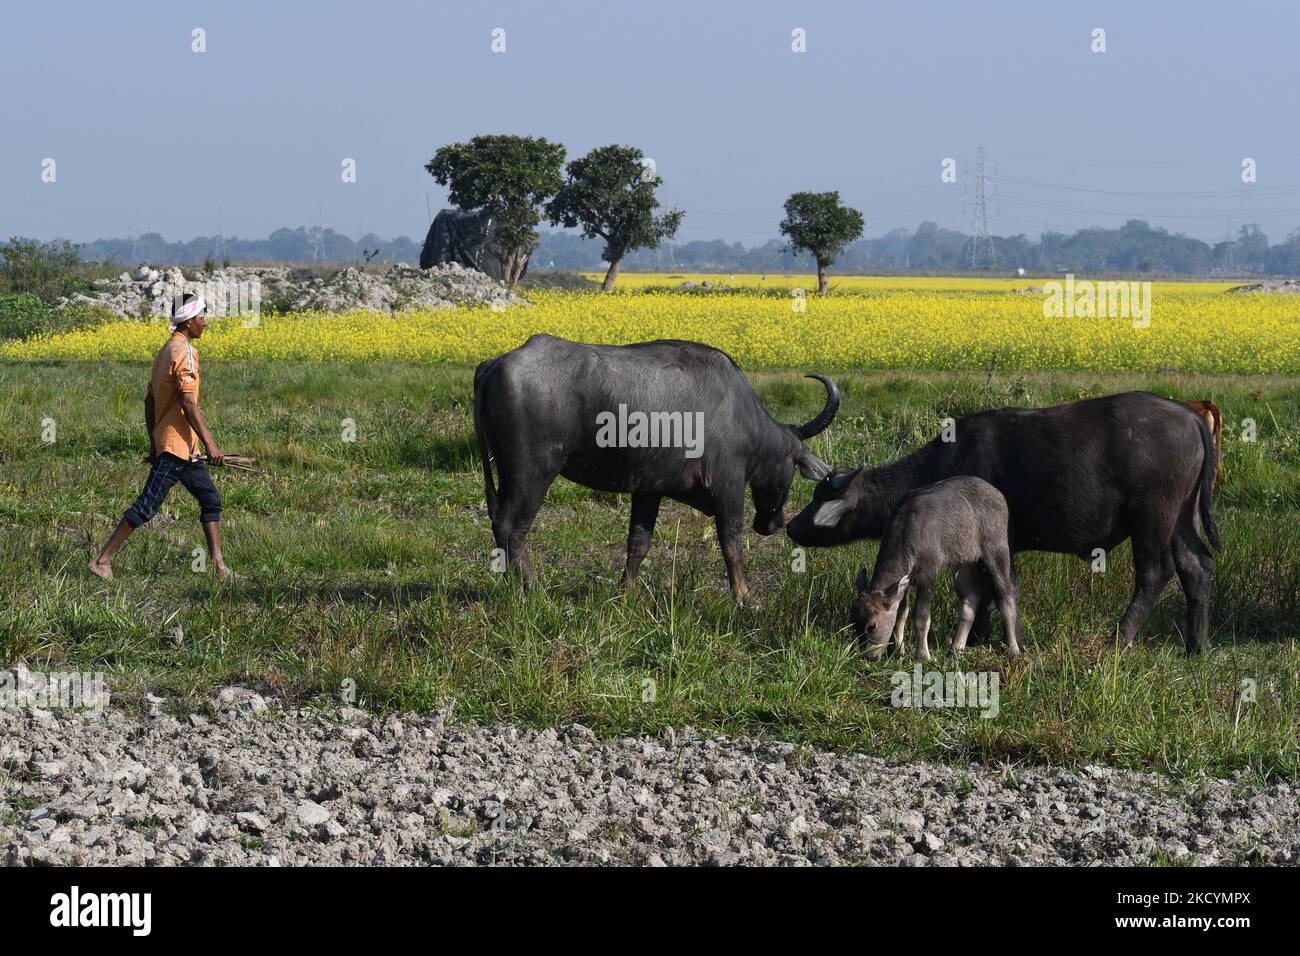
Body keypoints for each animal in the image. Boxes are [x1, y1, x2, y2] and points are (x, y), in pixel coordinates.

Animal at [473, 334, 840, 601]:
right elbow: (731, 543)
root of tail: (495, 363)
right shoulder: (728, 486)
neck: (743, 416)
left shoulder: (649, 490)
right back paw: (532, 591)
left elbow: (638, 542)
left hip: (505, 472)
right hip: (532, 473)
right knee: (512, 527)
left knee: (499, 524)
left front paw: (625, 595)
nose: (773, 525)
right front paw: (745, 598)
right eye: (790, 469)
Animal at [786, 391, 1220, 652]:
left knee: (1154, 572)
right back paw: (1195, 646)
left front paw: (987, 639)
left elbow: (991, 591)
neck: (951, 458)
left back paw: (1120, 637)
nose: (791, 526)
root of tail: (1190, 416)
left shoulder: (995, 544)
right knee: (1197, 568)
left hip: (1153, 518)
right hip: (1183, 519)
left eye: (821, 497)